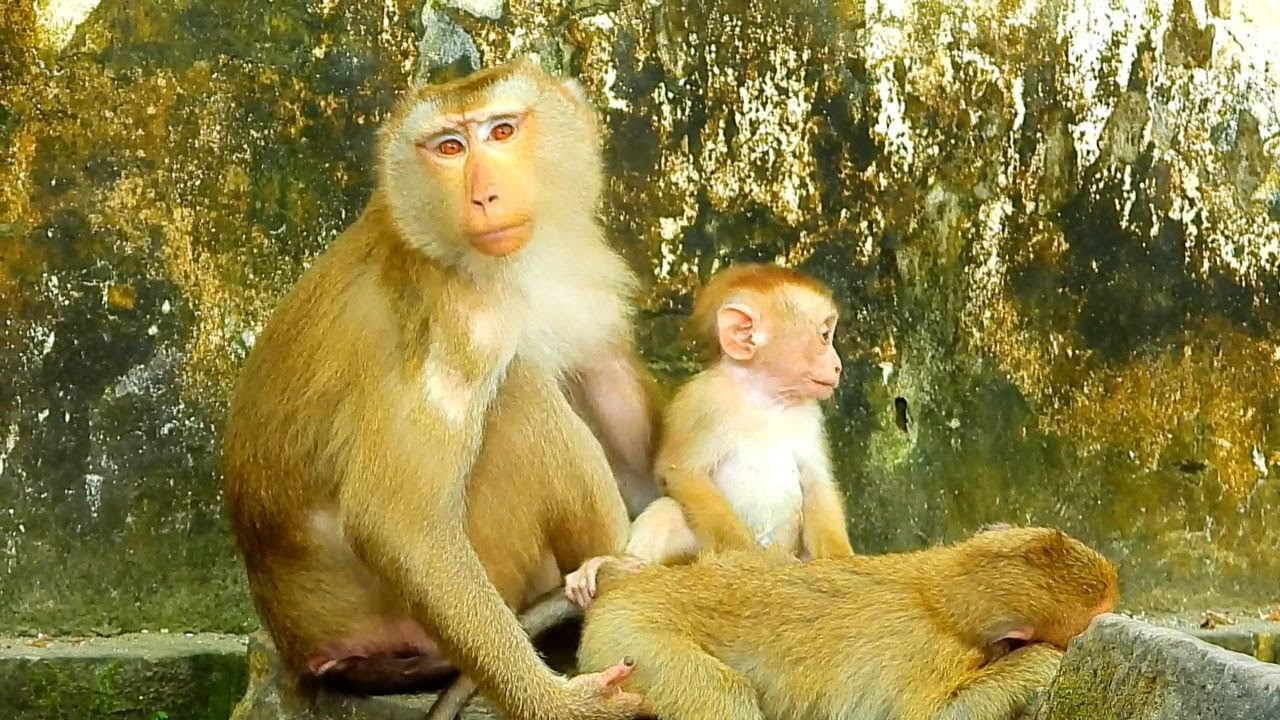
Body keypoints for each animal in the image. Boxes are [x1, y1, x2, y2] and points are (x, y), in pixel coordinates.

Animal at [221, 58, 659, 720]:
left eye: (502, 131)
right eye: (449, 147)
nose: (484, 195)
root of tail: (301, 646)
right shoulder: (460, 319)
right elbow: (396, 519)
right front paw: (557, 704)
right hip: (458, 591)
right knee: (519, 396)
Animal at [564, 263, 854, 608]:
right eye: (824, 336)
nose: (837, 366)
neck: (763, 396)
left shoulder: (809, 417)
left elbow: (816, 481)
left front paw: (842, 562)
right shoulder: (701, 400)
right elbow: (682, 472)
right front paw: (752, 559)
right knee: (668, 510)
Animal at [576, 525, 1120, 720]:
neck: (939, 595)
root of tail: (621, 594)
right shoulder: (927, 653)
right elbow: (929, 717)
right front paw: (1045, 661)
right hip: (635, 641)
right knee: (721, 699)